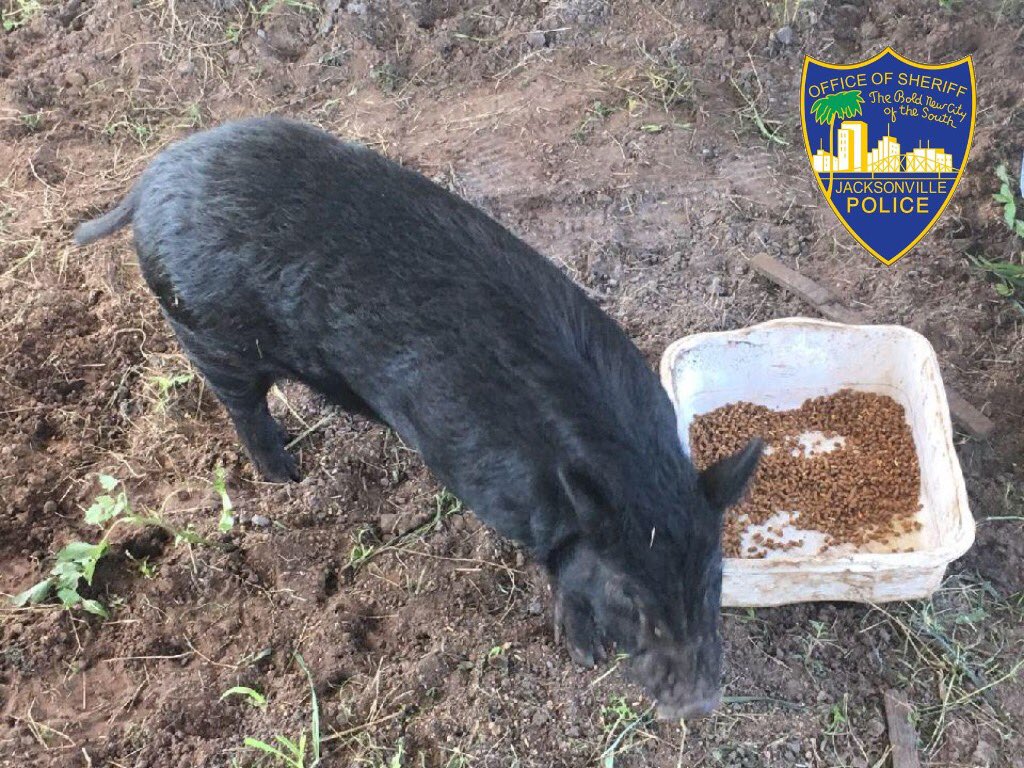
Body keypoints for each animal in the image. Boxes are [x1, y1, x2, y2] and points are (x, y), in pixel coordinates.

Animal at [74, 117, 762, 719]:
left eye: (713, 574)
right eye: (628, 594)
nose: (700, 704)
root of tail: (154, 178)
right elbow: (560, 576)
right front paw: (584, 655)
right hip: (210, 337)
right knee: (244, 412)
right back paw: (288, 477)